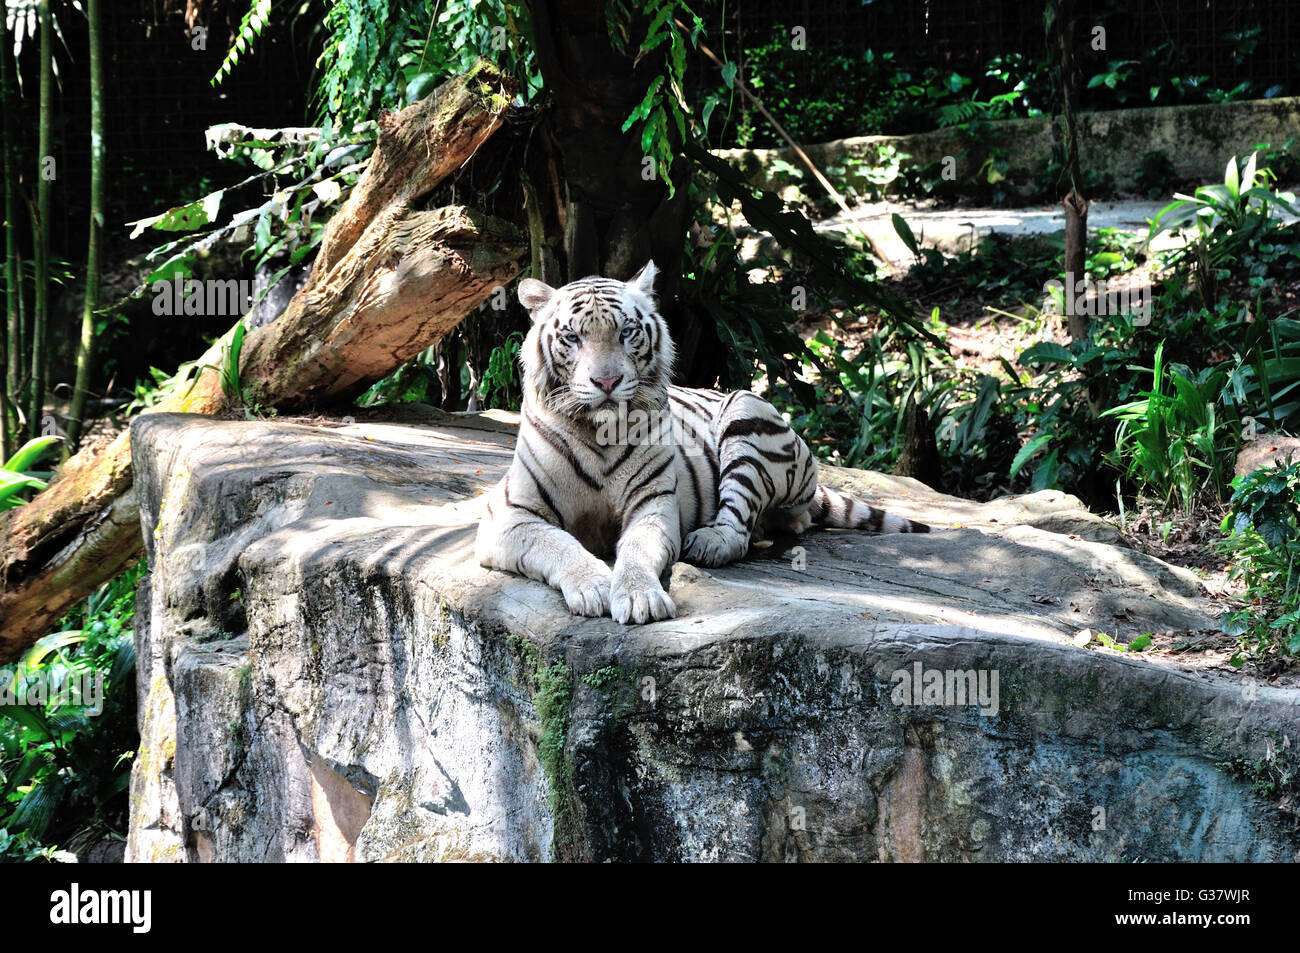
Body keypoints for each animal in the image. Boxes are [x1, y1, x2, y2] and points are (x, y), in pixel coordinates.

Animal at [474, 261, 930, 625]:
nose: (606, 382)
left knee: (740, 528)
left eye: (626, 333)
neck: (598, 433)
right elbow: (558, 544)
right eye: (572, 338)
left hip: (747, 412)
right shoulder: (509, 515)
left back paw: (708, 542)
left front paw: (639, 598)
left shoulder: (654, 505)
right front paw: (594, 588)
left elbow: (636, 550)